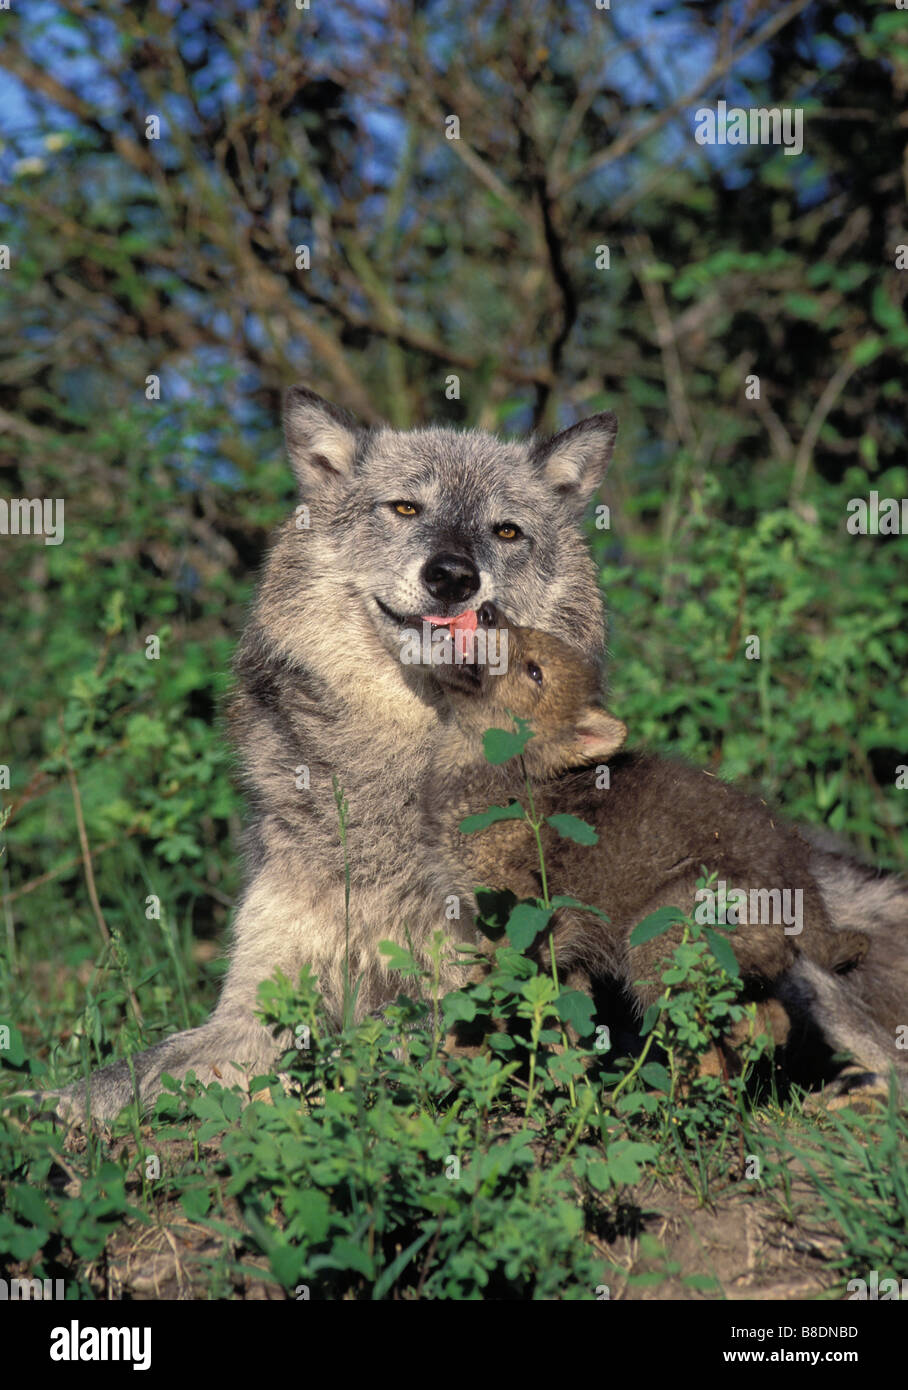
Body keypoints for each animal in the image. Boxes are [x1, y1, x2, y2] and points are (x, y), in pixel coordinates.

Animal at [47, 389, 621, 1120]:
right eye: (405, 508)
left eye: (507, 531)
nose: (453, 577)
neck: (398, 768)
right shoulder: (256, 1000)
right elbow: (145, 1067)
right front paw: (53, 1102)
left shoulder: (478, 995)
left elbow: (347, 1057)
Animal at [426, 612, 907, 1086]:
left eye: (534, 671)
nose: (488, 611)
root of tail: (807, 892)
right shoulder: (561, 951)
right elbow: (563, 1031)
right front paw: (561, 1087)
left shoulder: (522, 920)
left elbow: (479, 997)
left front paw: (447, 1069)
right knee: (766, 1022)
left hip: (656, 943)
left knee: (706, 1051)